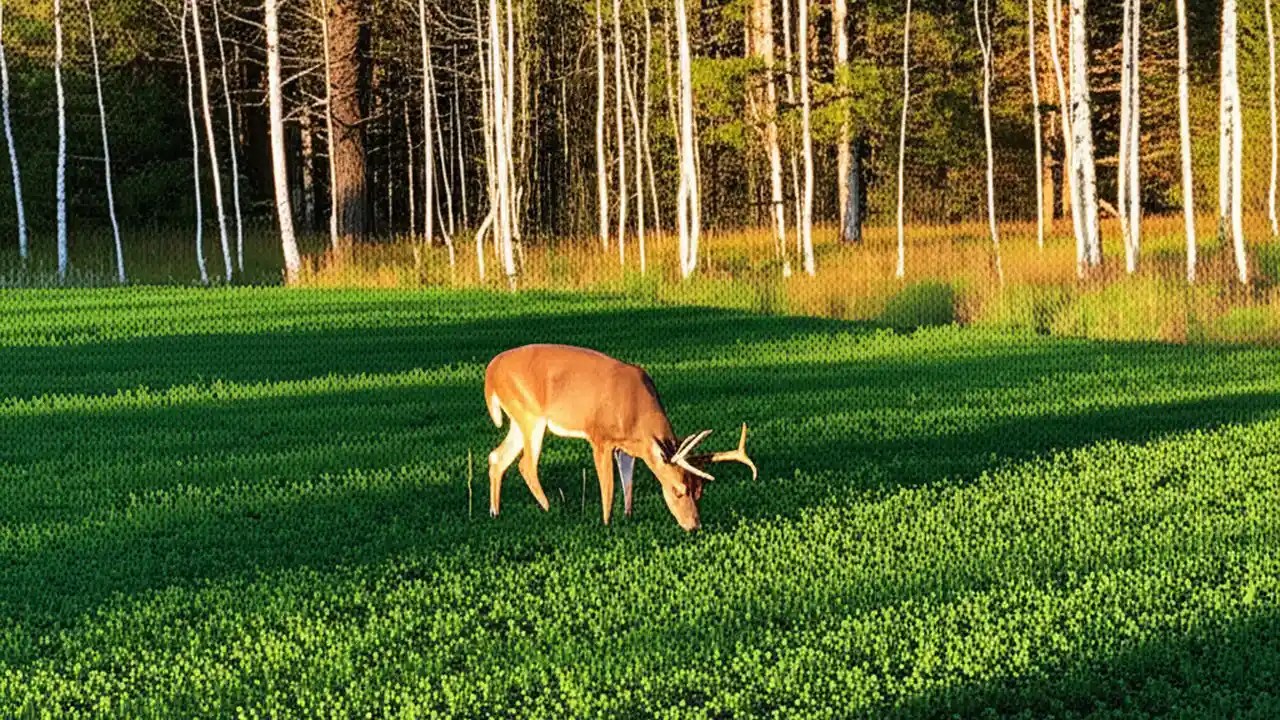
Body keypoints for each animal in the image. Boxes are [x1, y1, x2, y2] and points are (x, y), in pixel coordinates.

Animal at [483, 343, 757, 531]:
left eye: (699, 490)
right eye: (678, 490)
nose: (694, 526)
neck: (635, 411)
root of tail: (490, 371)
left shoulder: (629, 447)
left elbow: (628, 482)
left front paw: (628, 516)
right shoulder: (599, 436)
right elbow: (609, 486)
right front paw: (606, 522)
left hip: (518, 419)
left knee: (497, 456)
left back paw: (495, 512)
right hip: (530, 414)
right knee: (525, 464)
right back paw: (551, 508)